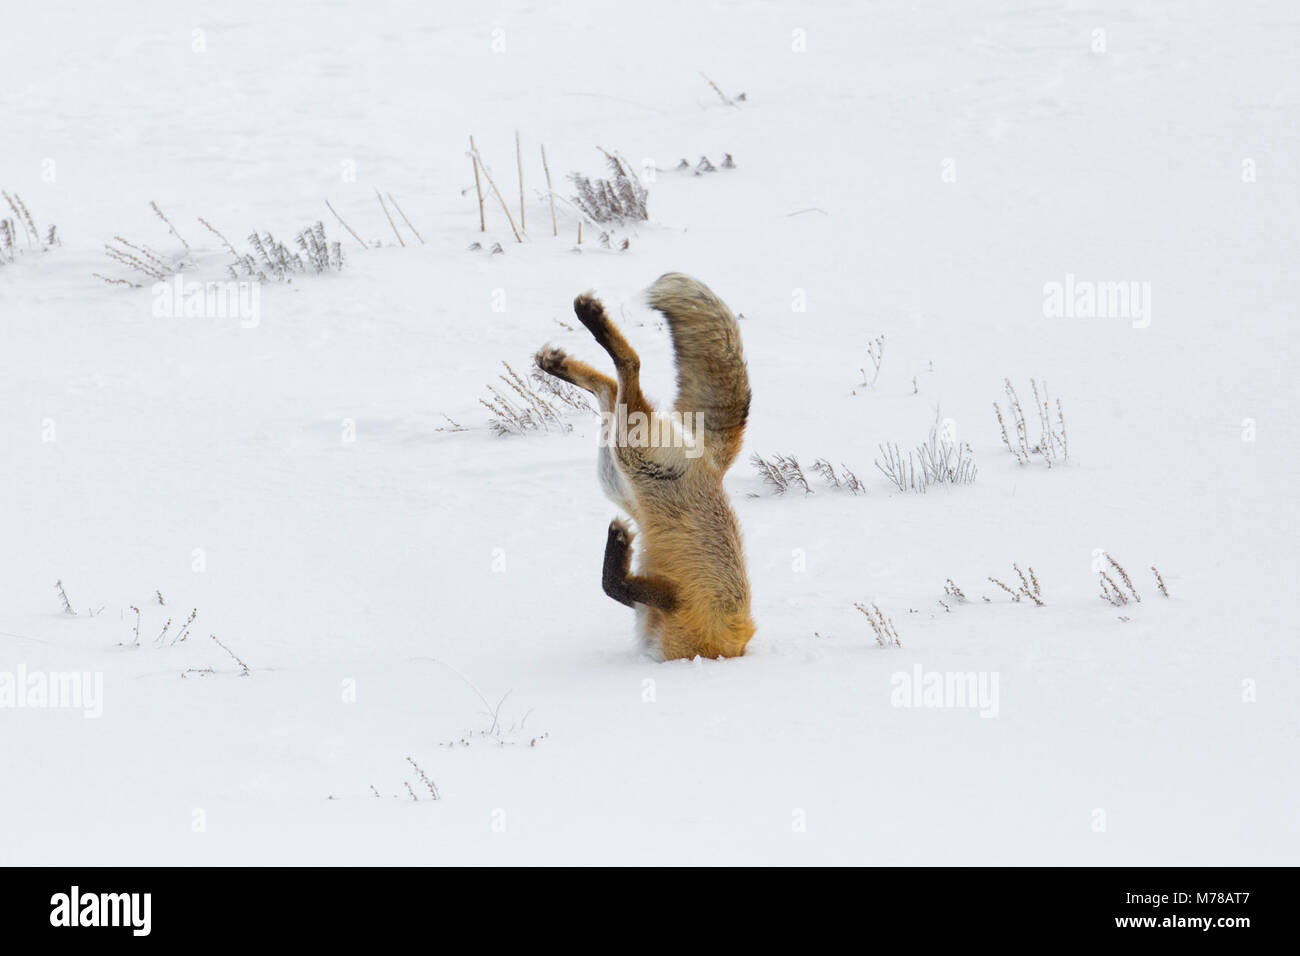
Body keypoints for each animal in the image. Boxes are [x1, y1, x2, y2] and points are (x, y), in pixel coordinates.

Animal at [534, 273, 755, 660]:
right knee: (620, 378)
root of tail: (714, 465)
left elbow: (613, 585)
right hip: (624, 461)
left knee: (621, 376)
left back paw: (577, 337)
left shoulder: (674, 603)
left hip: (627, 462)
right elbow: (614, 586)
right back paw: (574, 340)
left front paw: (618, 541)